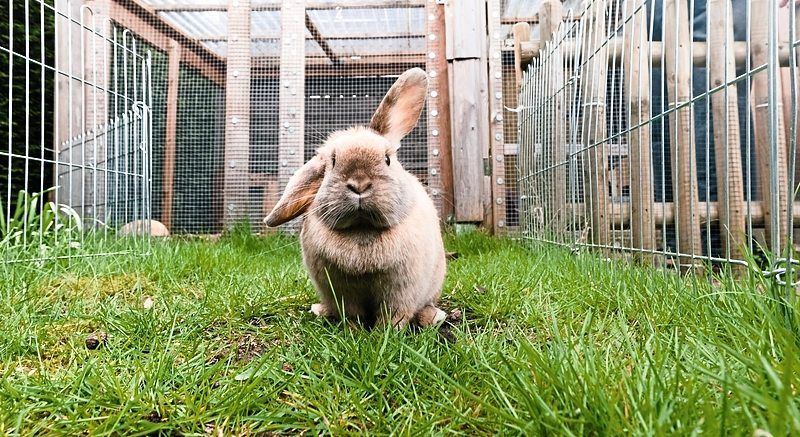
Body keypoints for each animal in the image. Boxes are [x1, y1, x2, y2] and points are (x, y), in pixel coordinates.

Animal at [264, 68, 447, 329]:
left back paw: (433, 317)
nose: (359, 184)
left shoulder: (400, 293)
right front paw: (354, 332)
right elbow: (352, 314)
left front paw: (385, 333)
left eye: (388, 159)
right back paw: (320, 310)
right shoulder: (342, 293)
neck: (362, 230)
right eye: (332, 162)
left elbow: (394, 316)